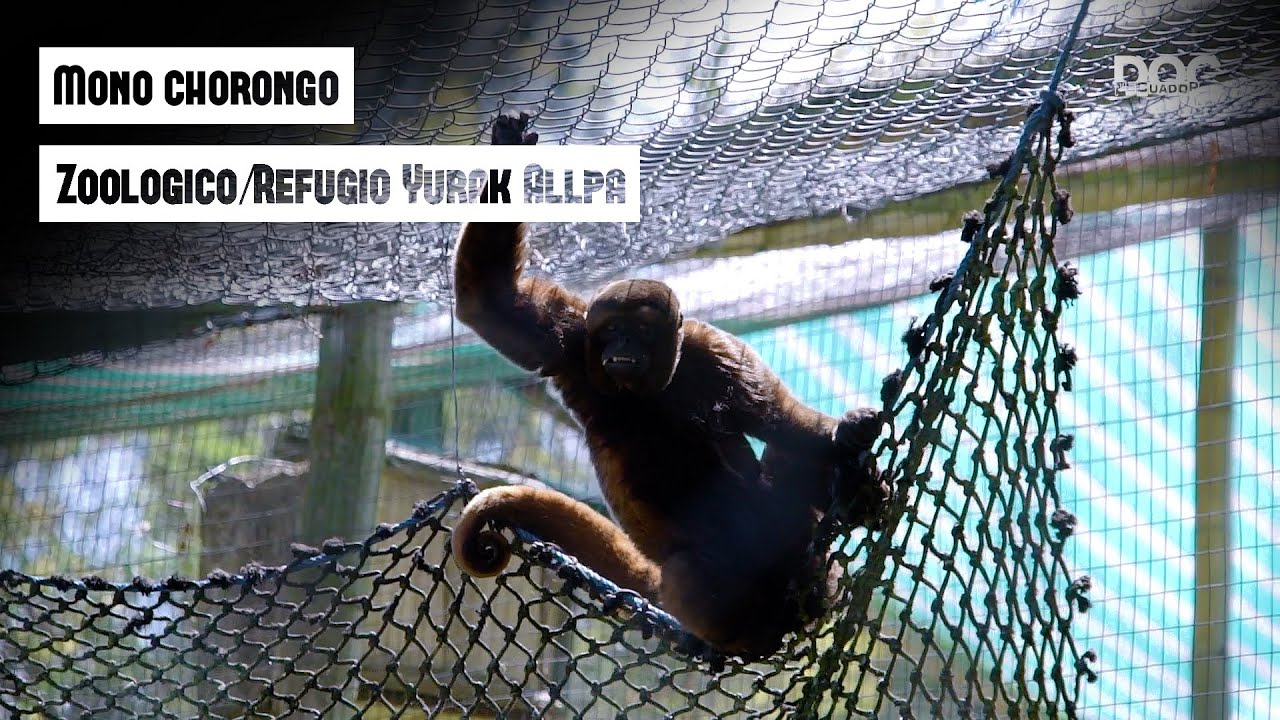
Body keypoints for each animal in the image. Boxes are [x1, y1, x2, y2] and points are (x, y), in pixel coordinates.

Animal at [450, 112, 888, 660]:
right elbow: (489, 302)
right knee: (692, 576)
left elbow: (780, 420)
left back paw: (850, 505)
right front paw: (505, 153)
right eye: (612, 329)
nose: (621, 348)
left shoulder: (714, 349)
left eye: (638, 331)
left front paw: (849, 436)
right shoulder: (572, 341)